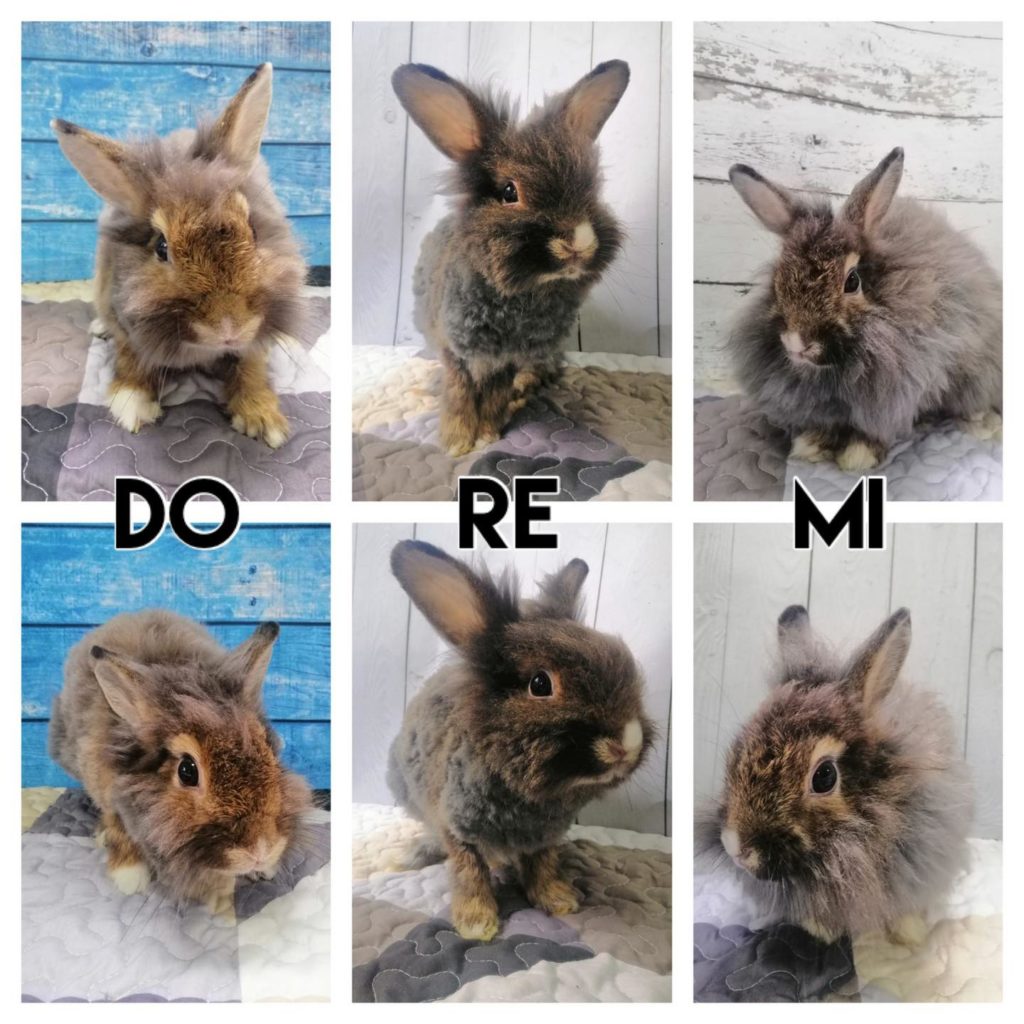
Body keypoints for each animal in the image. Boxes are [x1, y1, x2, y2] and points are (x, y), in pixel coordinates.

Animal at [49, 609, 313, 914]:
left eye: (269, 748)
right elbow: (117, 822)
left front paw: (264, 870)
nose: (260, 850)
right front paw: (130, 877)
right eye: (187, 771)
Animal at [52, 63, 307, 448]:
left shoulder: (252, 345)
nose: (229, 326)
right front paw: (132, 403)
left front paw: (263, 419)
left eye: (254, 229)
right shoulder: (127, 327)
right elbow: (131, 360)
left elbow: (251, 367)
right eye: (161, 247)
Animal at [387, 540, 654, 940]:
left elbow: (542, 866)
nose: (629, 742)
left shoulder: (544, 838)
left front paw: (558, 899)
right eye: (540, 684)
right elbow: (468, 873)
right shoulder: (458, 829)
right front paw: (476, 923)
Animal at [391, 60, 629, 456]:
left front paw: (487, 434)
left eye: (593, 189)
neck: (521, 296)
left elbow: (493, 396)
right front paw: (457, 442)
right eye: (508, 192)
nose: (580, 242)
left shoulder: (507, 358)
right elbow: (459, 395)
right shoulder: (457, 352)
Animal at [727, 148, 1002, 472]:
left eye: (852, 281)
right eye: (777, 279)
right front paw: (811, 446)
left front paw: (858, 456)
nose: (795, 343)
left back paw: (986, 425)